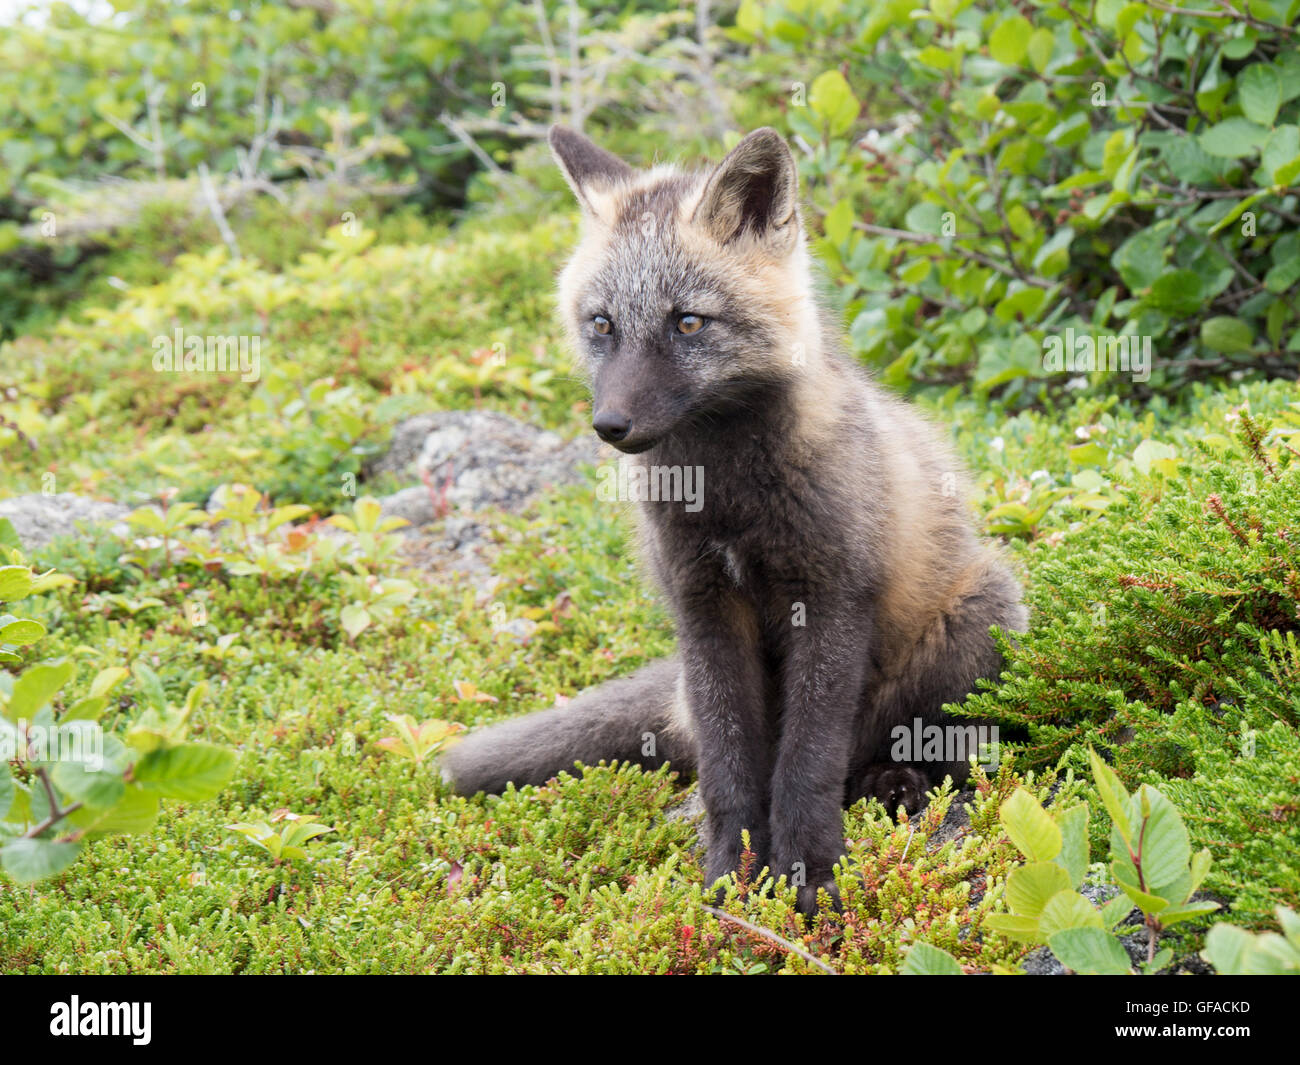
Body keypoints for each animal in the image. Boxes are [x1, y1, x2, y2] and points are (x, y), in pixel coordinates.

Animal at [441, 125, 1027, 915]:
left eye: (688, 322)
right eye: (602, 325)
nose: (610, 425)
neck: (725, 497)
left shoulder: (833, 598)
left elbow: (807, 764)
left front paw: (810, 875)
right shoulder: (703, 607)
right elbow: (728, 767)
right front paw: (732, 875)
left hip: (980, 612)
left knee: (920, 752)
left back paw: (896, 782)